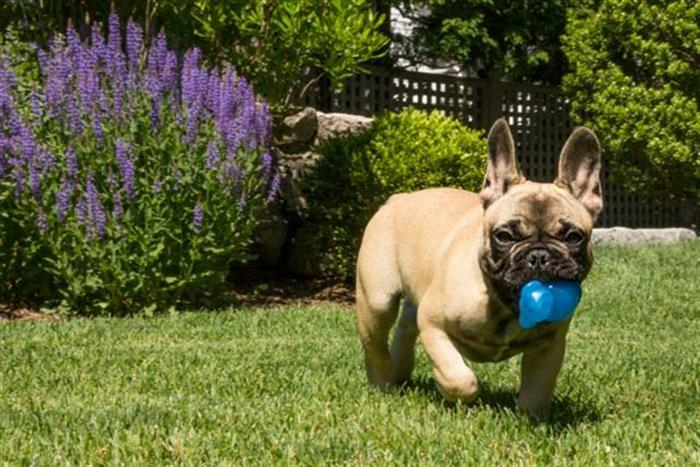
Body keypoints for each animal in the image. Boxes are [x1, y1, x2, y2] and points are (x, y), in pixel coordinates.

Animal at [356, 118, 600, 416]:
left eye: (574, 237)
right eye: (504, 236)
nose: (539, 255)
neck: (502, 303)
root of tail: (397, 199)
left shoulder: (550, 346)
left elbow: (538, 389)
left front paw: (529, 417)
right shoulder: (433, 323)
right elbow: (460, 378)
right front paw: (455, 394)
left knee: (406, 327)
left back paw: (400, 371)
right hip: (377, 302)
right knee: (375, 345)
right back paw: (382, 383)